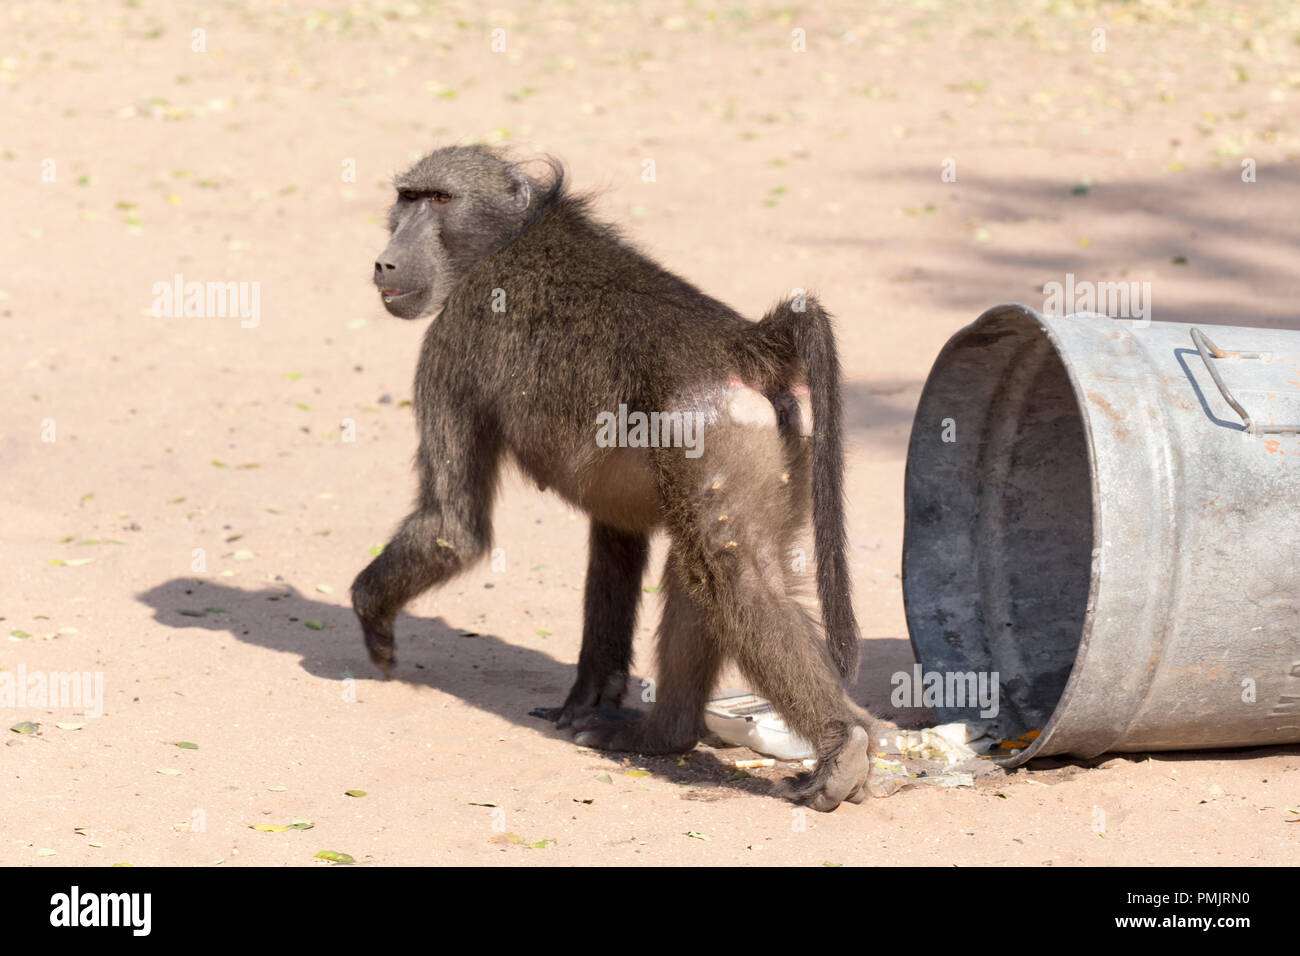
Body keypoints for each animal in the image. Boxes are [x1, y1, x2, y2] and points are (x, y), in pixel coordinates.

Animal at [351, 144, 875, 810]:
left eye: (440, 200)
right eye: (407, 198)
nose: (385, 260)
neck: (513, 235)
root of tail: (745, 342)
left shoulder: (453, 338)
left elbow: (452, 526)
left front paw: (373, 618)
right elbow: (616, 537)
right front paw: (587, 697)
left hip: (706, 428)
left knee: (734, 578)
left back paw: (842, 747)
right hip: (782, 446)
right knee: (701, 568)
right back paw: (665, 735)